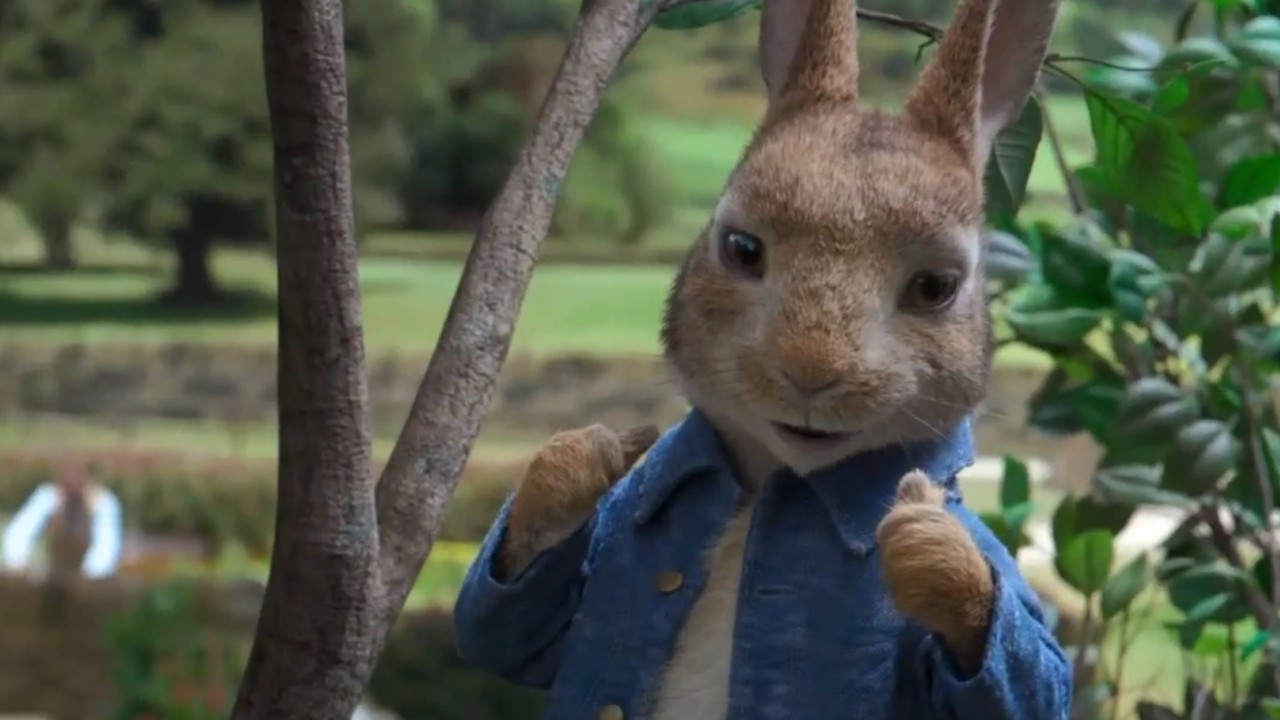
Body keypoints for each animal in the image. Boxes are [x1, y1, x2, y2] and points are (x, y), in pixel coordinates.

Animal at [455, 0, 1071, 717]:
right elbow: (507, 633)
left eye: (936, 287)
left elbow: (1030, 681)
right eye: (741, 248)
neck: (777, 481)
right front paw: (591, 456)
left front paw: (928, 540)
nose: (810, 372)